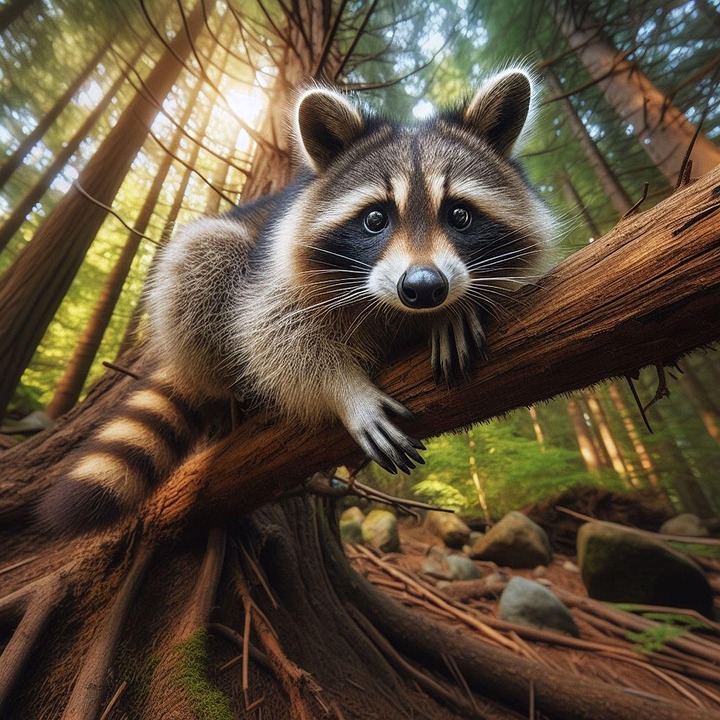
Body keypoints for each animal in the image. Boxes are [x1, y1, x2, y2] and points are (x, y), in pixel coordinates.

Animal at [39, 69, 554, 533]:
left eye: (460, 215)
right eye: (375, 220)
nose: (425, 288)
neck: (396, 310)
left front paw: (457, 309)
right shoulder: (274, 275)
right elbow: (274, 335)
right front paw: (344, 390)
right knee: (203, 252)